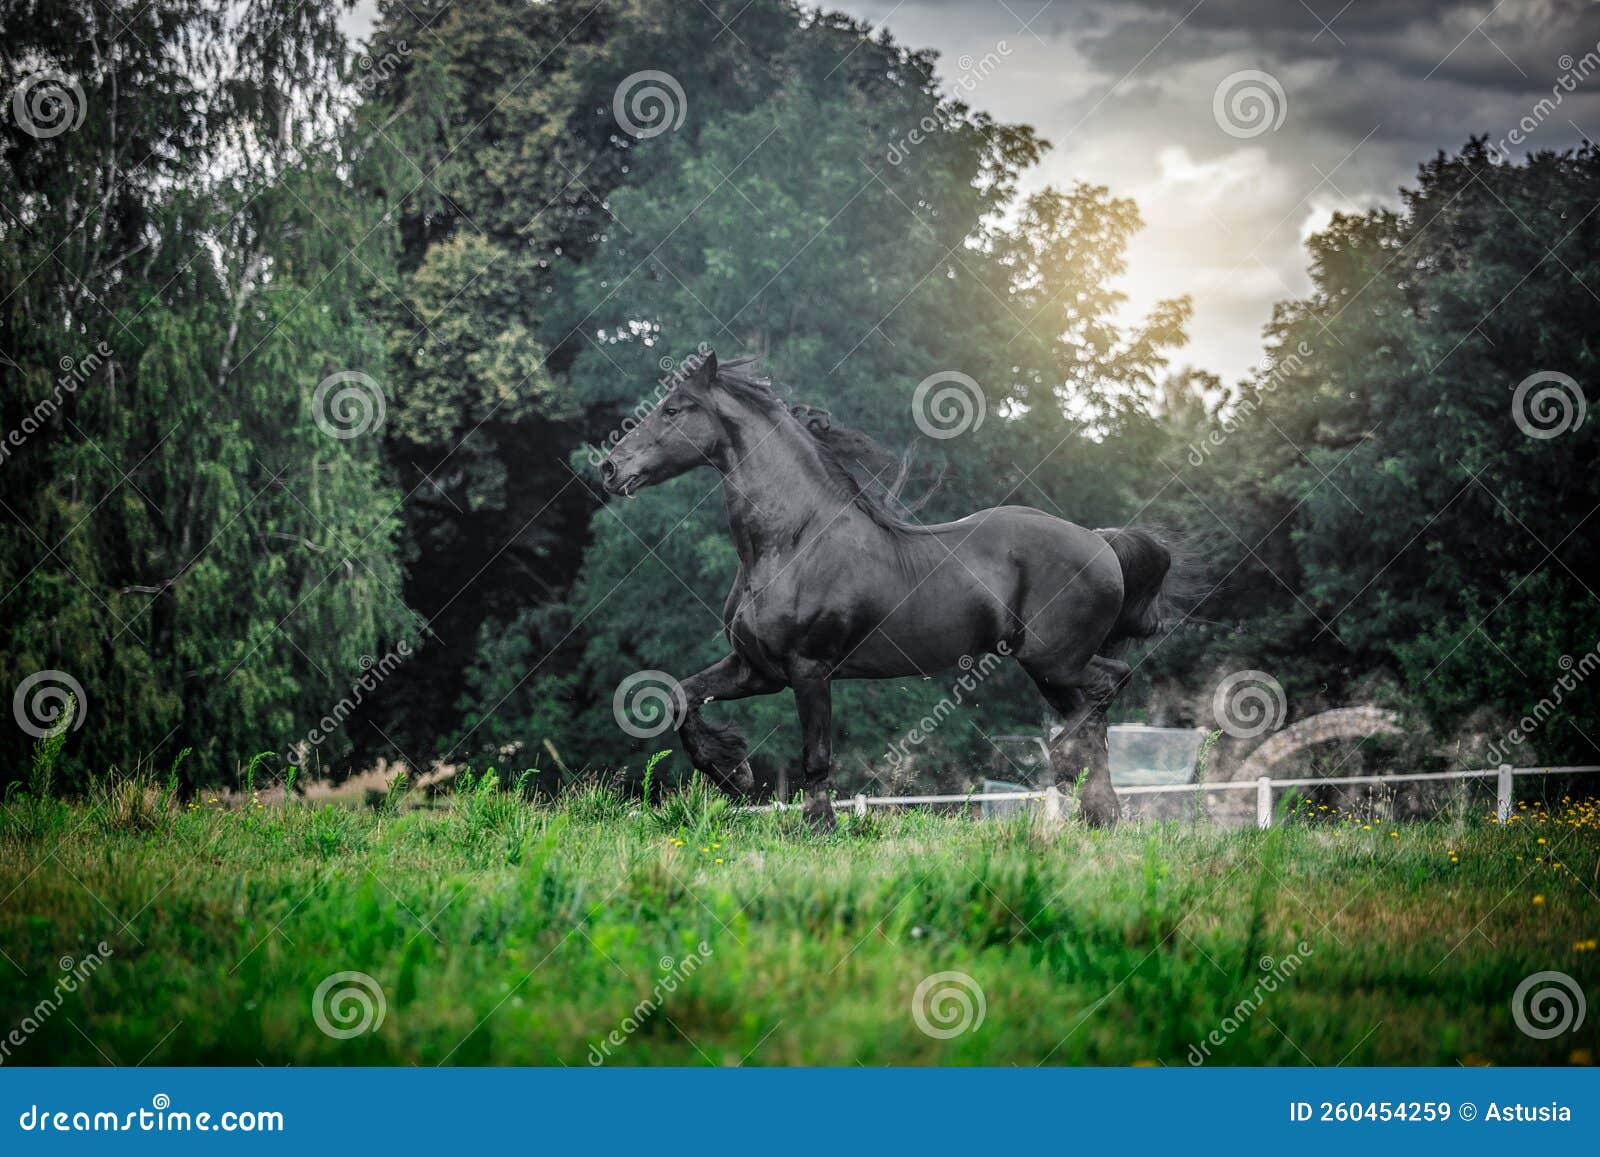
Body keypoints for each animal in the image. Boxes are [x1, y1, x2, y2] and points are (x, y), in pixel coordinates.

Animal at [599, 352, 1175, 830]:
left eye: (675, 409)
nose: (609, 467)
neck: (791, 541)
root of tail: (1100, 542)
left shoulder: (808, 669)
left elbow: (816, 755)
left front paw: (817, 827)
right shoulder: (757, 670)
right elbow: (680, 696)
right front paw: (731, 772)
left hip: (1053, 660)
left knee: (1109, 689)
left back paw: (1074, 780)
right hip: (1048, 670)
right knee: (1094, 719)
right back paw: (1097, 816)